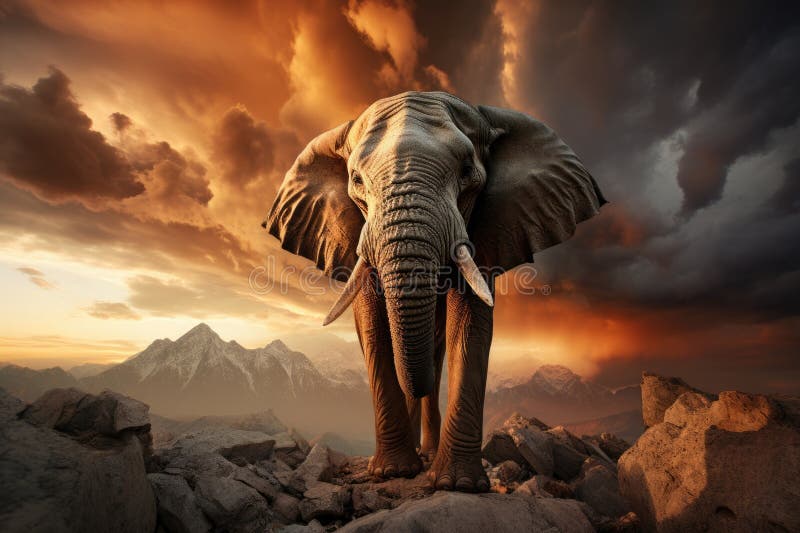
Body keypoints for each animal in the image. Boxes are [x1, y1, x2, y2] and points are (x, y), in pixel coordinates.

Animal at [263, 91, 605, 492]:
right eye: (357, 181)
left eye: (467, 173)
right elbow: (372, 325)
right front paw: (392, 472)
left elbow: (470, 323)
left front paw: (458, 484)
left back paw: (428, 454)